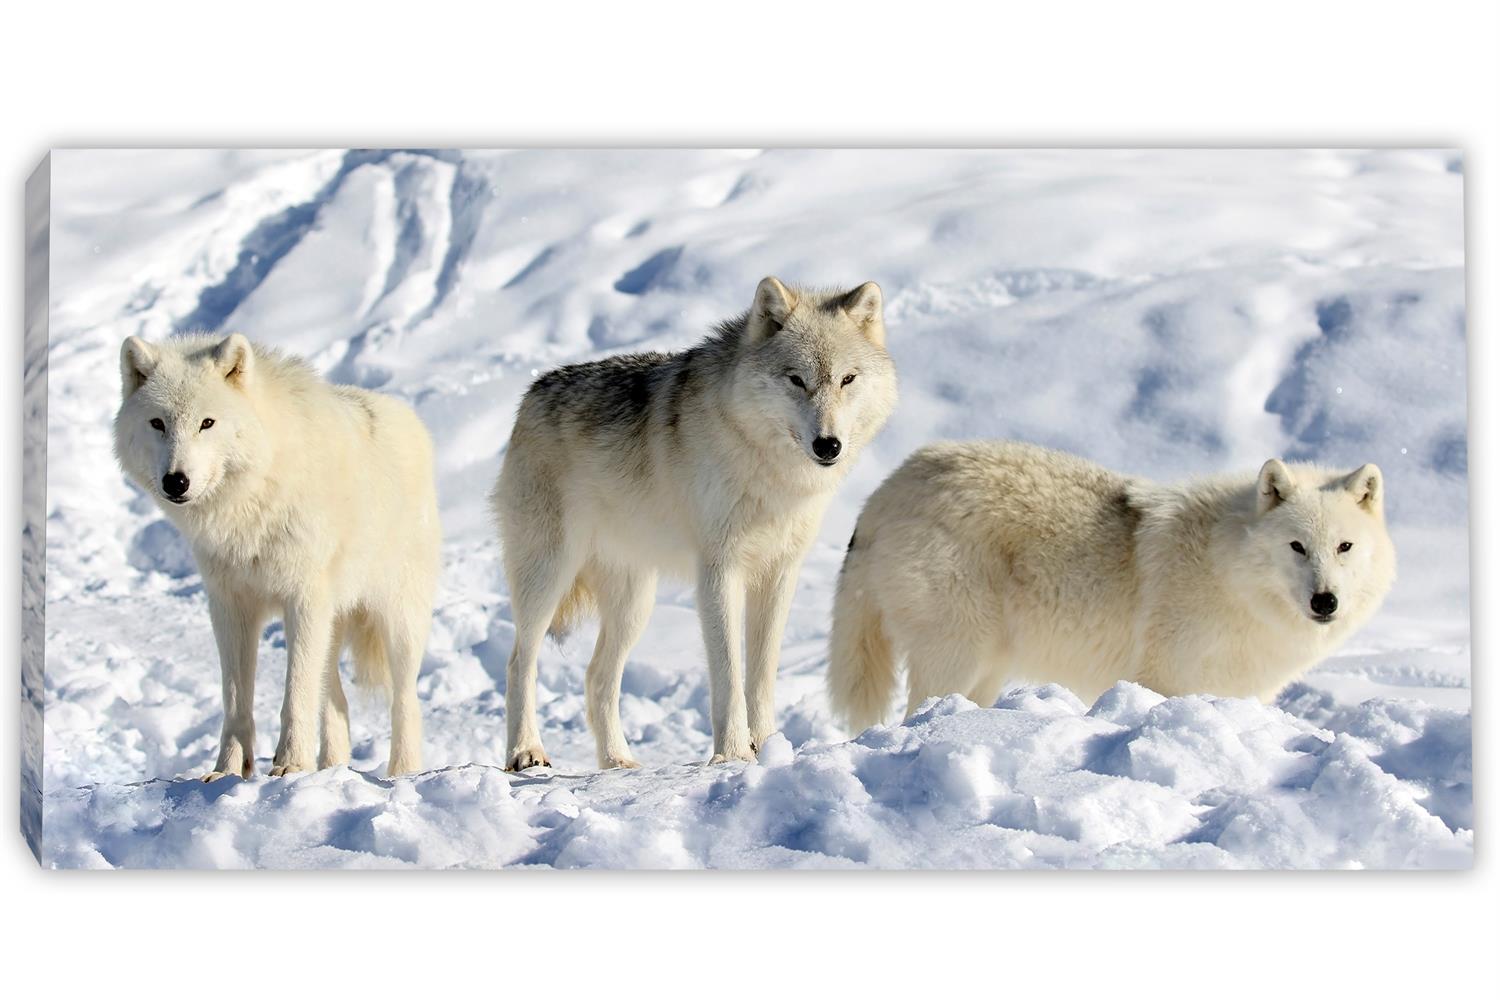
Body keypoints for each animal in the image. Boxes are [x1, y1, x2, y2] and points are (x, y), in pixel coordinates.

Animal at [113, 333, 441, 779]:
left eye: (207, 423)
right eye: (157, 423)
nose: (175, 481)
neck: (252, 498)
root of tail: (407, 416)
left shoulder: (302, 599)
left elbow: (295, 693)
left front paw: (290, 765)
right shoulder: (230, 605)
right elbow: (236, 700)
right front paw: (228, 771)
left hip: (397, 620)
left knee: (405, 702)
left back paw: (401, 773)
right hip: (332, 623)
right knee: (335, 700)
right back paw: (332, 768)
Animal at [492, 277, 898, 769]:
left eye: (847, 379)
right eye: (796, 379)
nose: (828, 445)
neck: (769, 474)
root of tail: (532, 393)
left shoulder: (780, 573)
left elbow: (762, 675)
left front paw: (770, 747)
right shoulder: (719, 571)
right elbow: (728, 674)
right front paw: (733, 755)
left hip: (634, 604)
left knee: (596, 678)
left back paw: (617, 761)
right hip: (549, 578)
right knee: (519, 662)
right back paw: (525, 752)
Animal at [829, 440, 1397, 731]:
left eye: (1344, 547)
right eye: (1297, 547)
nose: (1325, 602)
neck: (1226, 571)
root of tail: (885, 491)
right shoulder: (1162, 681)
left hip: (987, 668)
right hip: (957, 655)